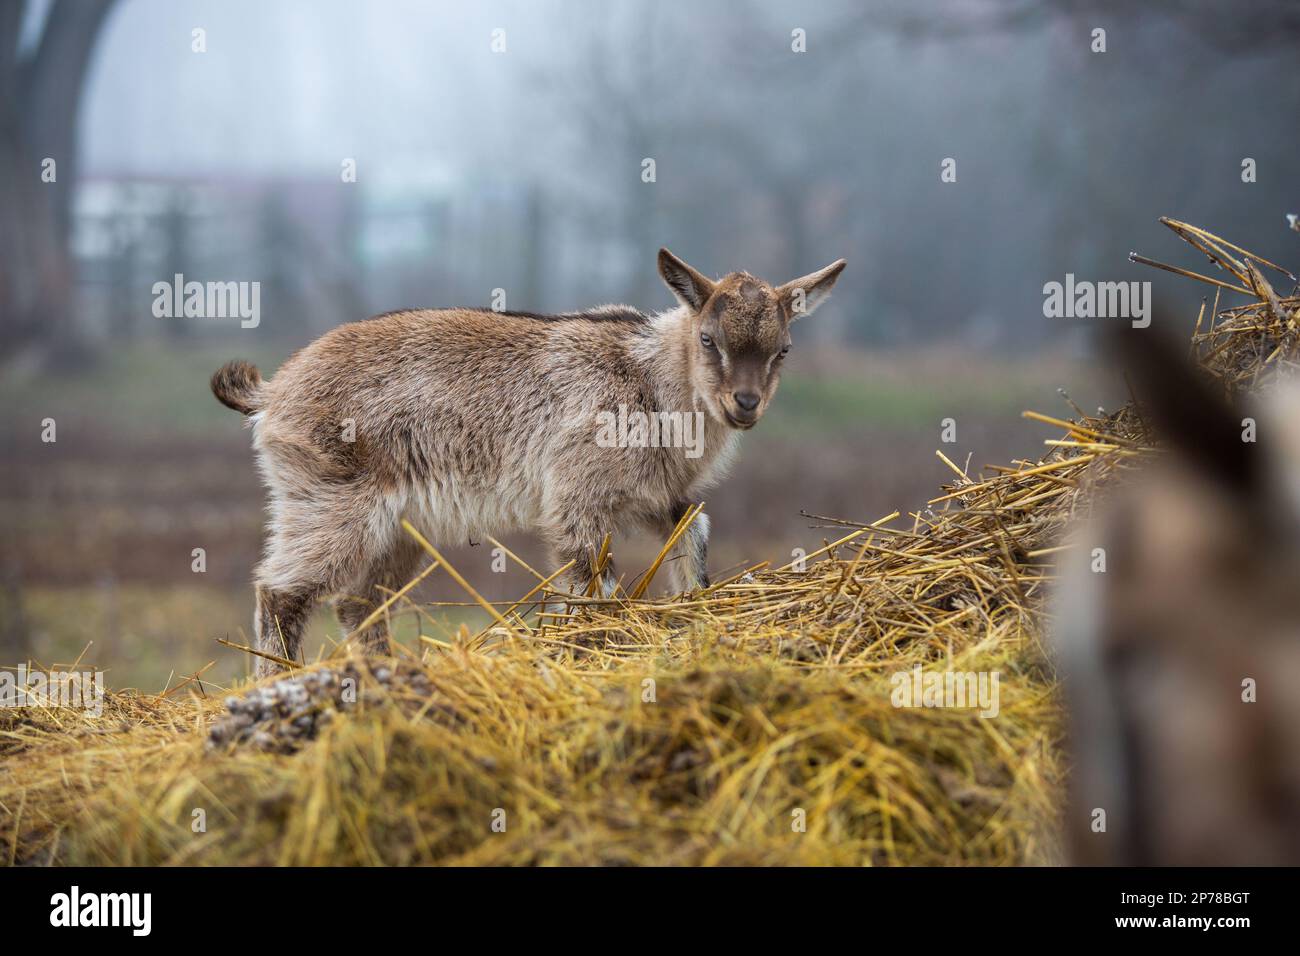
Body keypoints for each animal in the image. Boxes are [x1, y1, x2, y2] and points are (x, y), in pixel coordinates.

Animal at [213, 249, 845, 676]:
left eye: (783, 348)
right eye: (710, 338)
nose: (745, 404)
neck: (650, 379)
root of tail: (274, 393)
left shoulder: (650, 498)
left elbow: (695, 529)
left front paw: (696, 607)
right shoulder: (577, 497)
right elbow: (593, 585)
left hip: (397, 528)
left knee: (359, 601)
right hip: (331, 502)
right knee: (281, 590)